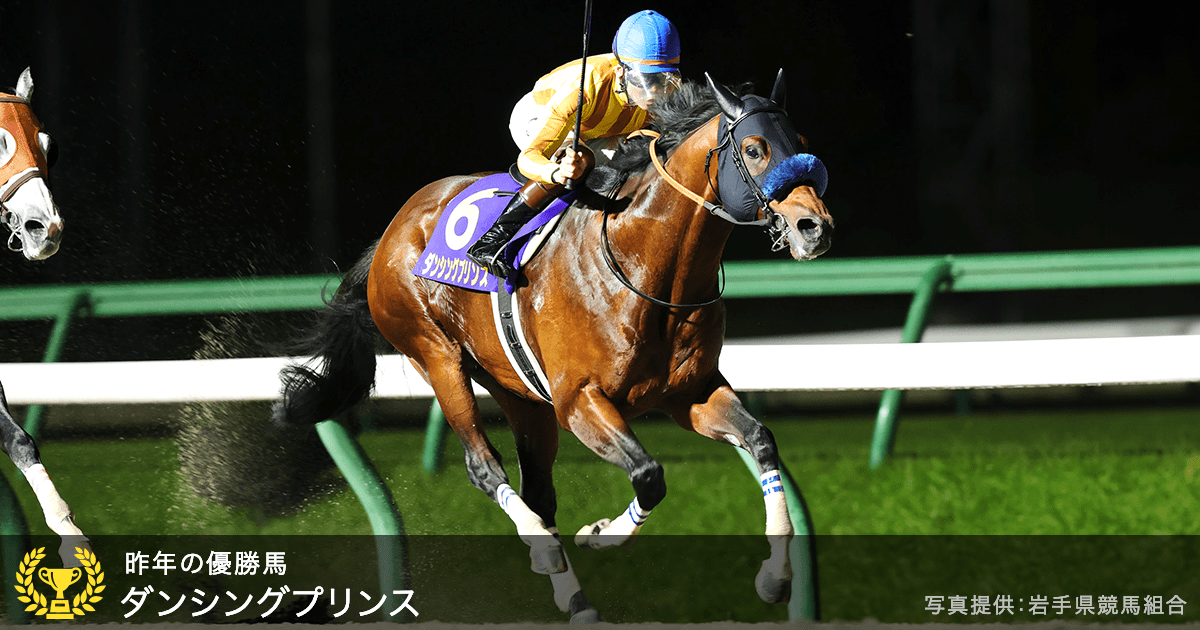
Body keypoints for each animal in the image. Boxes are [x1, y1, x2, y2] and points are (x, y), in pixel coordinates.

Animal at [274, 71, 832, 622]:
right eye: (755, 149)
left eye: (801, 142)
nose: (815, 227)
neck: (645, 263)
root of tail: (393, 229)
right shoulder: (578, 400)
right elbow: (649, 474)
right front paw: (601, 534)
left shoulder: (689, 393)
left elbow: (761, 440)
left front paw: (775, 577)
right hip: (436, 355)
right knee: (484, 466)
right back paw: (544, 548)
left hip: (520, 394)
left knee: (538, 490)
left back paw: (573, 596)